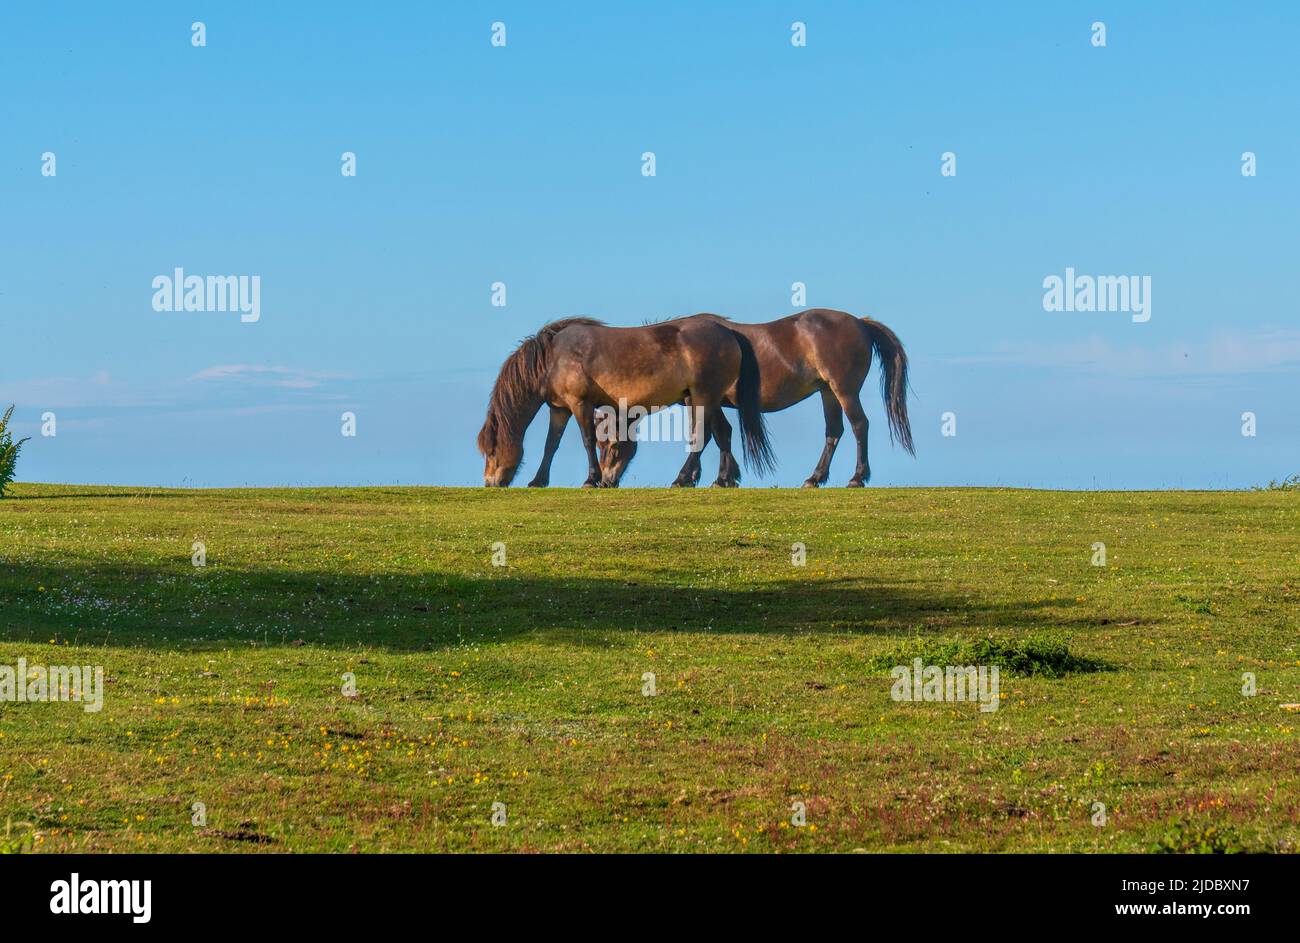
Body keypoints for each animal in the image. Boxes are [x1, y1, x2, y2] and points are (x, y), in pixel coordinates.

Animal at [477, 317, 776, 488]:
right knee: (722, 432)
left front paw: (592, 479)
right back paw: (723, 480)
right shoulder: (560, 409)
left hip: (703, 397)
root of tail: (730, 333)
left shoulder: (580, 404)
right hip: (703, 399)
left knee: (703, 435)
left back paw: (682, 479)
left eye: (491, 451)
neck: (552, 358)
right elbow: (551, 444)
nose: (490, 483)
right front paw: (538, 481)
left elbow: (587, 439)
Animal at [599, 308, 914, 487]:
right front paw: (724, 477)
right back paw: (815, 478)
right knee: (834, 431)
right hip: (828, 392)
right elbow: (721, 434)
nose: (605, 481)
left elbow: (707, 434)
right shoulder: (708, 401)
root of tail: (860, 322)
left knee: (860, 425)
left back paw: (857, 477)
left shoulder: (702, 399)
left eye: (611, 445)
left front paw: (691, 477)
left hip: (844, 390)